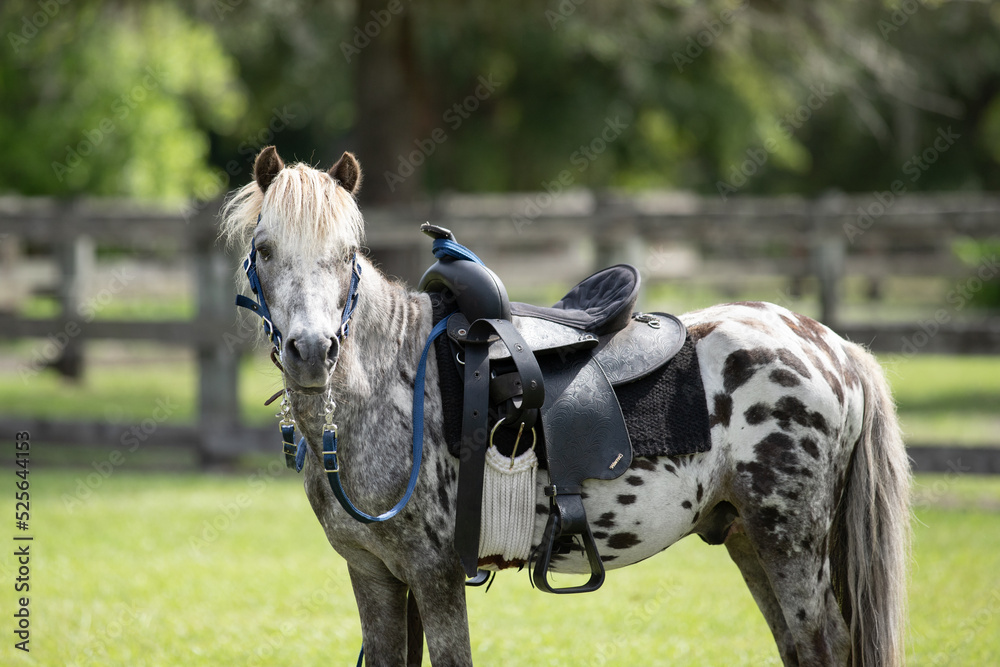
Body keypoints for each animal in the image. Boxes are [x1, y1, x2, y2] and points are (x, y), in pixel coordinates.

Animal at [220, 146, 910, 666]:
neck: (393, 384)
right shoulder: (375, 575)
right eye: (265, 249)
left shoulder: (435, 575)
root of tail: (833, 347)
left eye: (347, 253)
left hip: (790, 541)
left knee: (825, 645)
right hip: (750, 539)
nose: (313, 351)